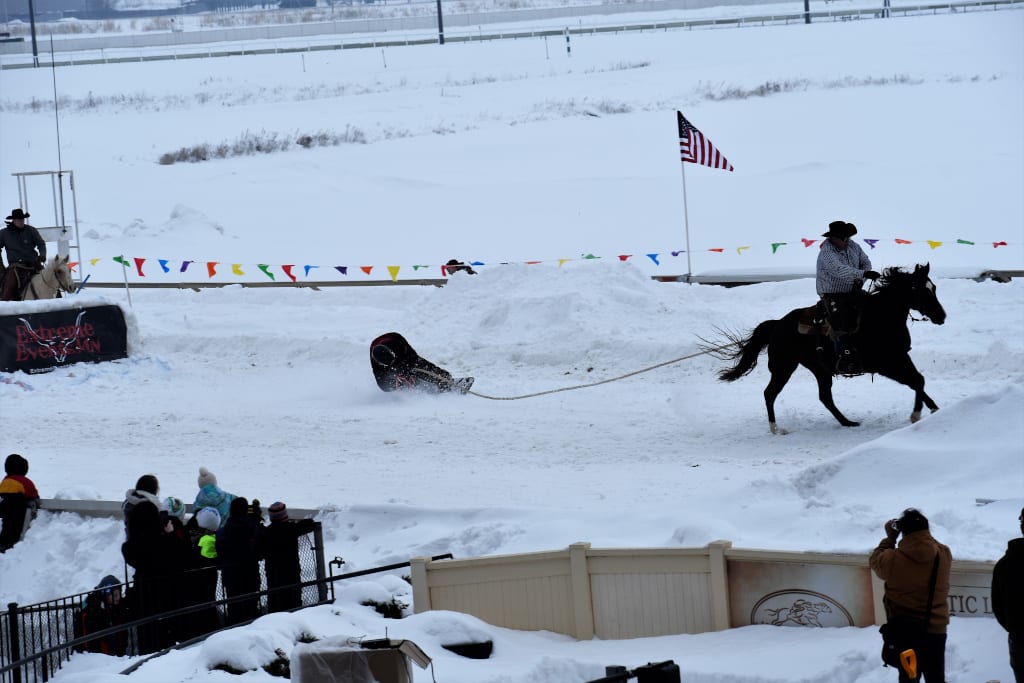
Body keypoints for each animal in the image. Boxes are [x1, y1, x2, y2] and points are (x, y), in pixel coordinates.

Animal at [715, 264, 946, 434]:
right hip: (784, 367)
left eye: (933, 287)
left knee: (824, 397)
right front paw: (916, 415)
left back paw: (847, 422)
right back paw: (776, 429)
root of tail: (777, 324)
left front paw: (934, 408)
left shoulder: (900, 357)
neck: (881, 317)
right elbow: (914, 381)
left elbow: (918, 380)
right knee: (770, 393)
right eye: (919, 289)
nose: (941, 316)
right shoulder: (886, 364)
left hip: (819, 369)